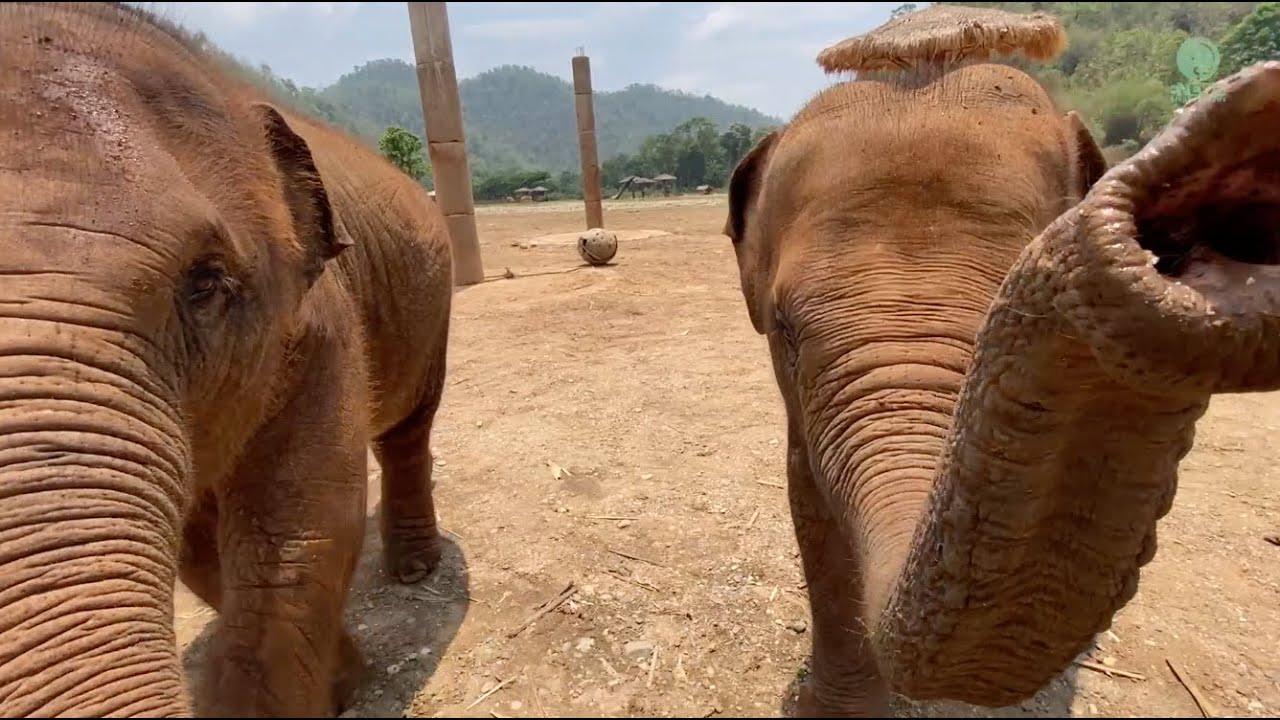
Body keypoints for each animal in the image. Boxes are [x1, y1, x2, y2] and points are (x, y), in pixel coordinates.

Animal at [0, 3, 452, 716]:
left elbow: (299, 523)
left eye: (207, 282)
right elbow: (199, 547)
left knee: (408, 426)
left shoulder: (316, 323)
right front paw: (341, 682)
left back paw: (414, 569)